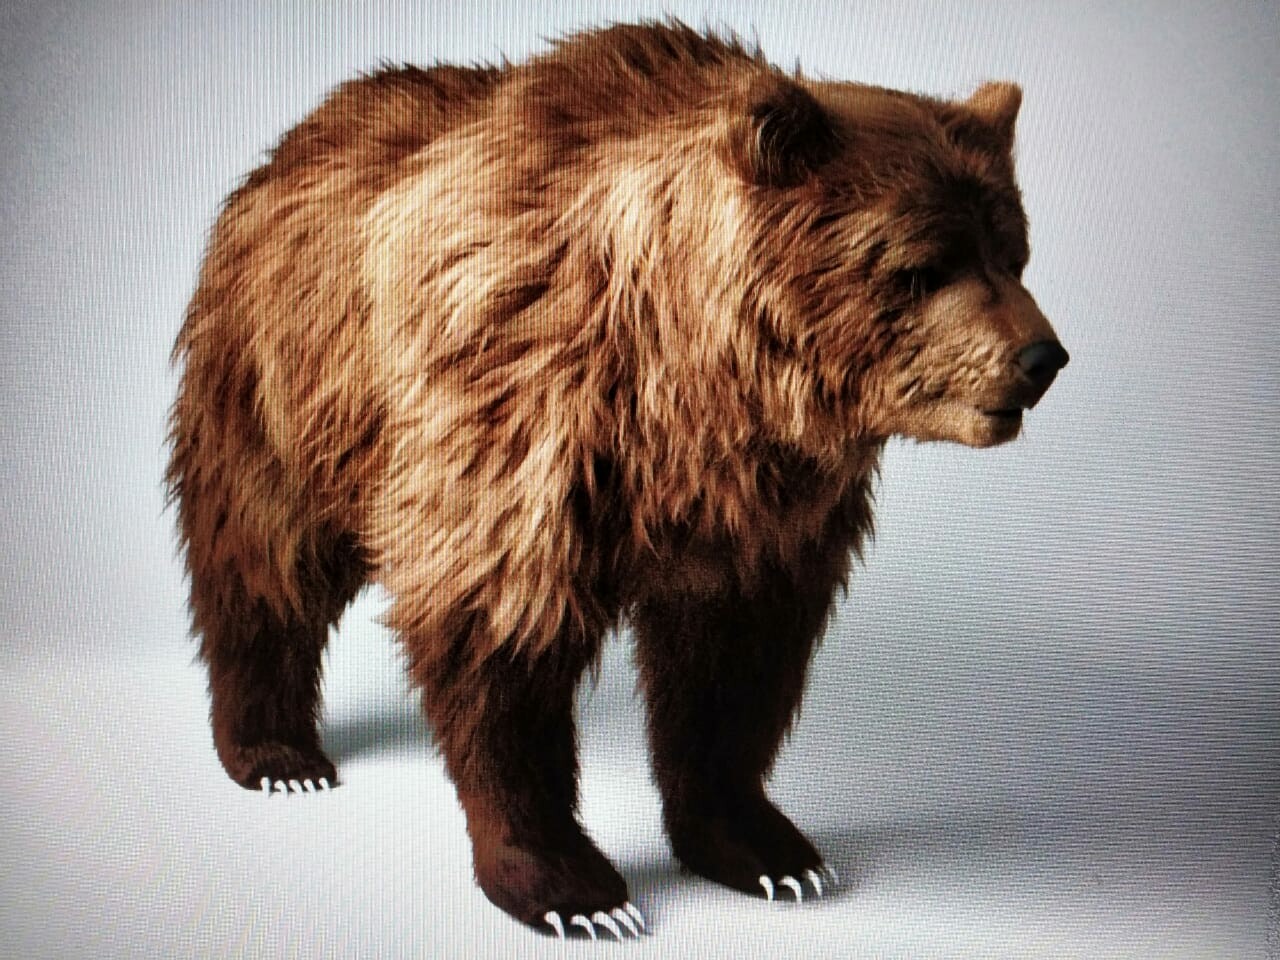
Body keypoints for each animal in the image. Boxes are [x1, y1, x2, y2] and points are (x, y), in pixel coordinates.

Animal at [166, 19, 1067, 939]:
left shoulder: (760, 508)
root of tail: (291, 143)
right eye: (924, 264)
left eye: (1014, 253)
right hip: (287, 378)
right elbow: (500, 641)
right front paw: (576, 892)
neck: (693, 389)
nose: (1042, 358)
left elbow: (732, 666)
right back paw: (278, 752)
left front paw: (773, 854)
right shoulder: (519, 424)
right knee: (264, 554)